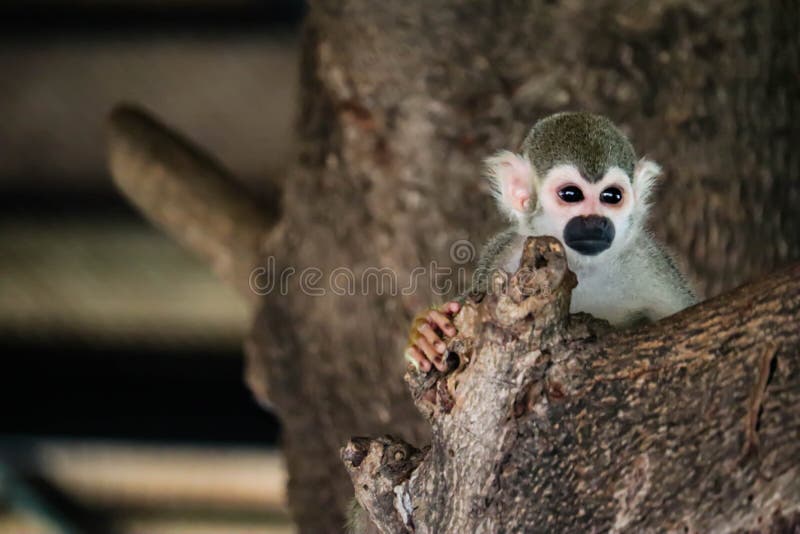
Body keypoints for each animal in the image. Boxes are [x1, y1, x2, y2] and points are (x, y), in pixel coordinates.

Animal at [405, 111, 697, 372]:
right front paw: (425, 332)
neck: (579, 266)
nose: (596, 222)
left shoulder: (649, 262)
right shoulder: (501, 259)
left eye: (612, 196)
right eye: (571, 194)